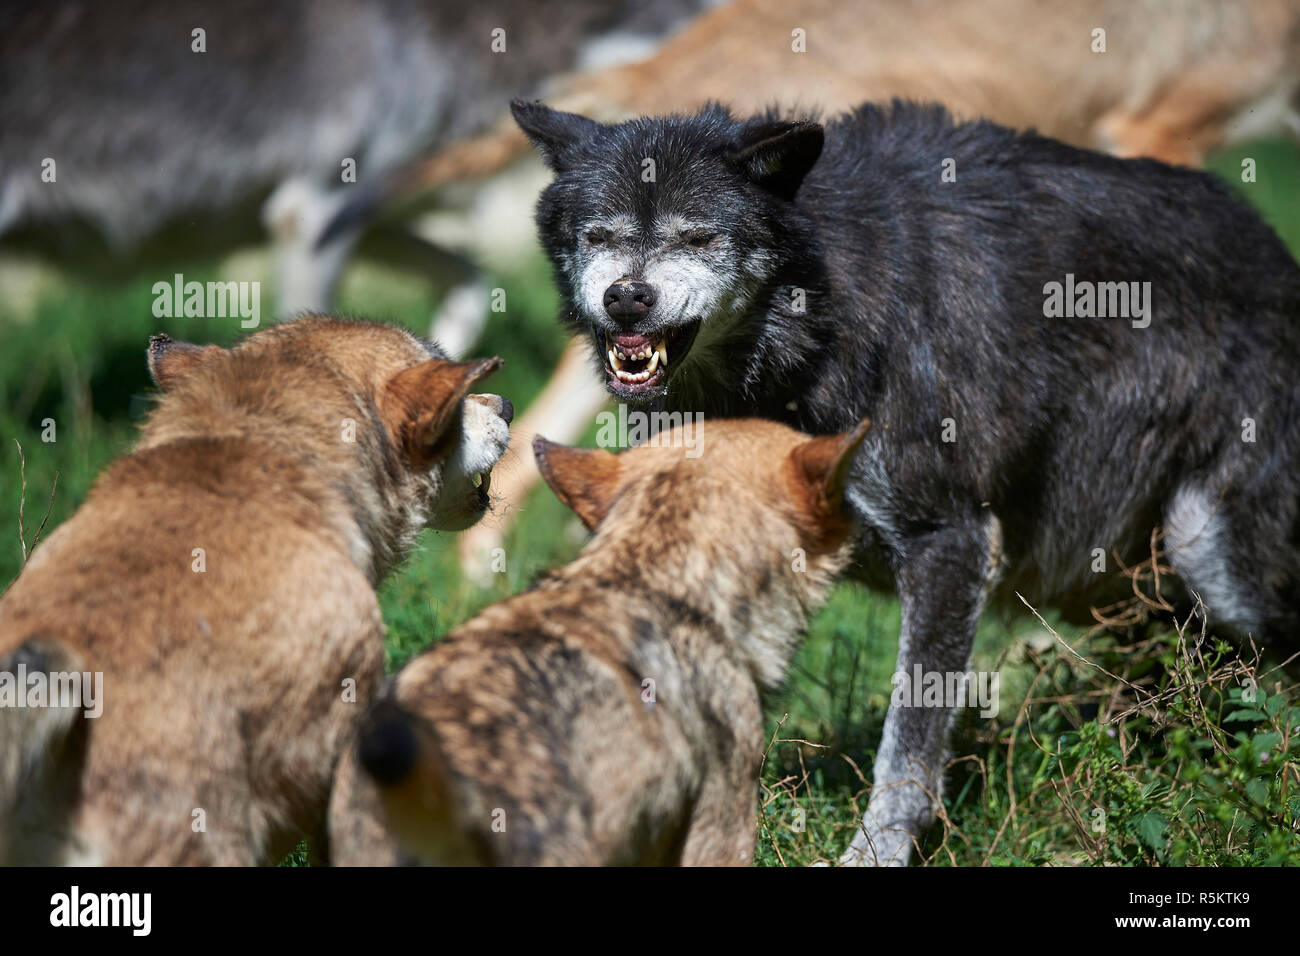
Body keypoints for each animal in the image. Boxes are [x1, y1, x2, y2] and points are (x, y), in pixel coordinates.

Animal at [513, 98, 1300, 865]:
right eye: (598, 235)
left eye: (699, 237)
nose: (627, 298)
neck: (811, 320)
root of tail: (1274, 248)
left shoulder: (948, 541)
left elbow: (908, 749)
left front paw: (875, 853)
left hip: (1205, 552)